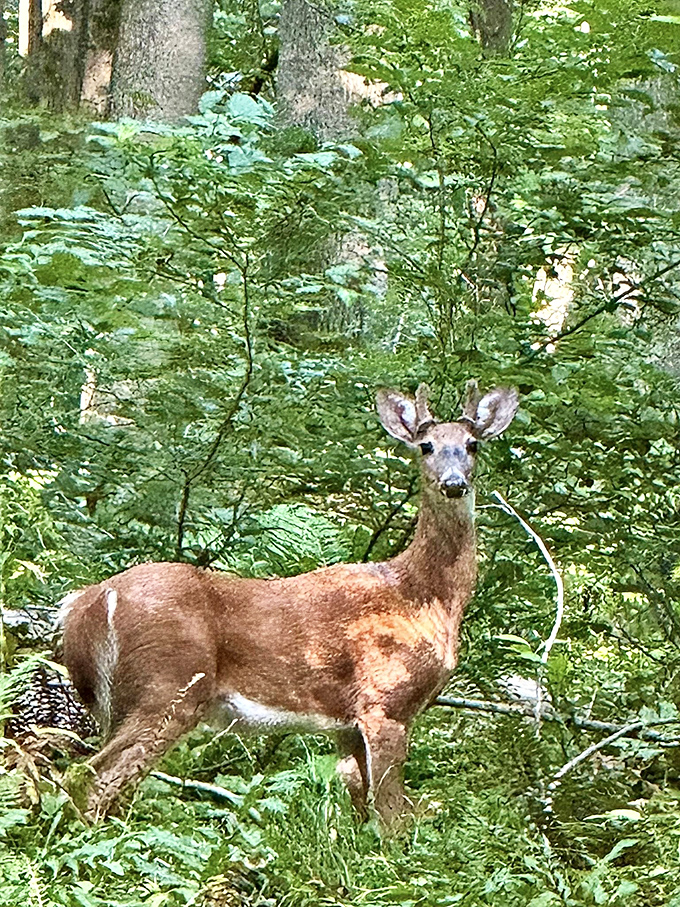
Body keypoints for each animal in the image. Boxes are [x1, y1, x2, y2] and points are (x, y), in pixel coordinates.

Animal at [60, 381, 518, 824]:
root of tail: (87, 601)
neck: (422, 598)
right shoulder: (384, 701)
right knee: (90, 777)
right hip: (168, 683)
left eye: (472, 444)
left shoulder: (346, 727)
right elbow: (393, 819)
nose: (454, 483)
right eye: (426, 446)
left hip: (117, 702)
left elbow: (361, 811)